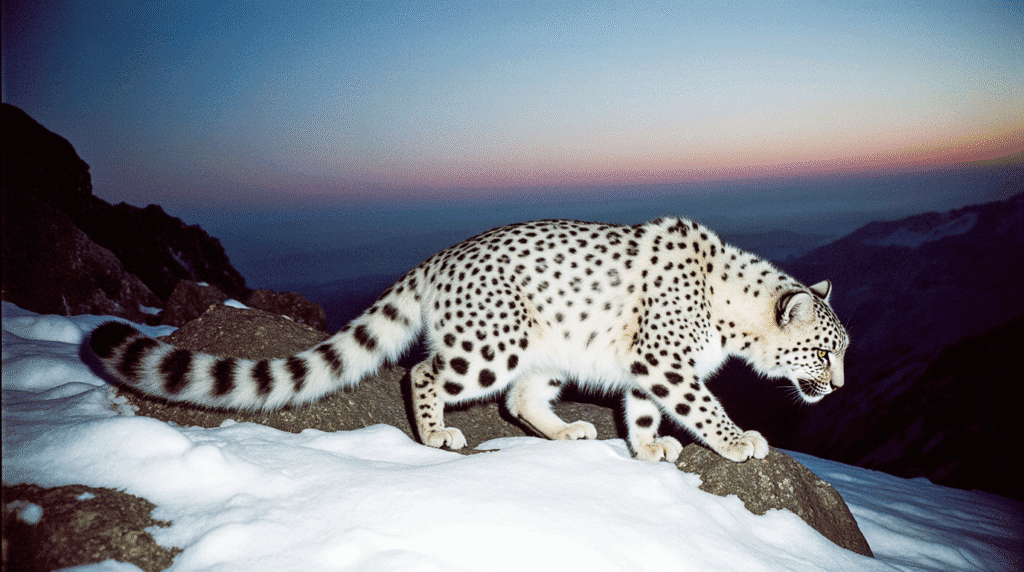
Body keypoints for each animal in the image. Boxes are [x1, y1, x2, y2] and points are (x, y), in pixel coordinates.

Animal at [90, 216, 848, 463]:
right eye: (824, 350)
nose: (840, 385)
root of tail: (438, 257)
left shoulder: (646, 367)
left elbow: (641, 410)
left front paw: (648, 447)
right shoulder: (666, 360)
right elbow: (701, 405)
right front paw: (742, 440)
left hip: (543, 356)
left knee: (519, 400)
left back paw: (569, 430)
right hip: (491, 346)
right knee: (423, 374)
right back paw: (436, 436)